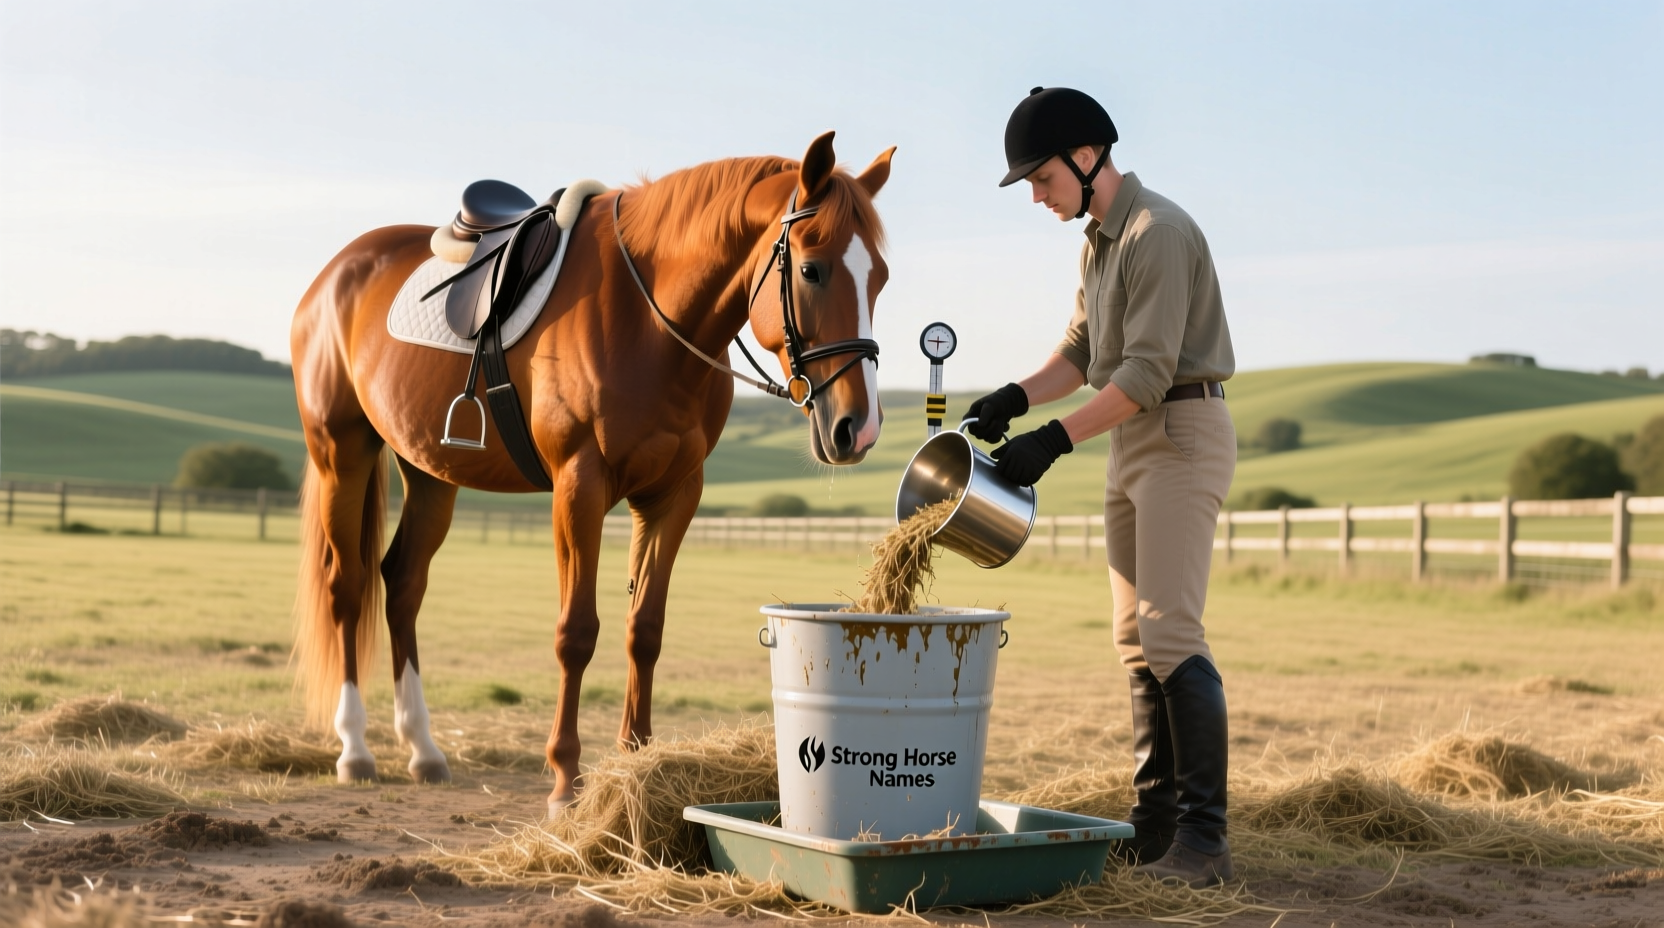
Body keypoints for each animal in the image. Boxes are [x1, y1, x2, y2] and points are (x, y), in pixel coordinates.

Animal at [289, 132, 894, 814]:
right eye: (813, 269)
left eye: (879, 278)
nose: (859, 428)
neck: (648, 319)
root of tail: (337, 272)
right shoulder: (579, 486)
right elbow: (577, 632)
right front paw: (564, 781)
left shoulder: (673, 495)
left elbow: (644, 629)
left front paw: (637, 760)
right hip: (341, 454)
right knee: (347, 585)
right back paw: (354, 749)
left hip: (429, 471)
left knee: (403, 583)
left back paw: (422, 748)